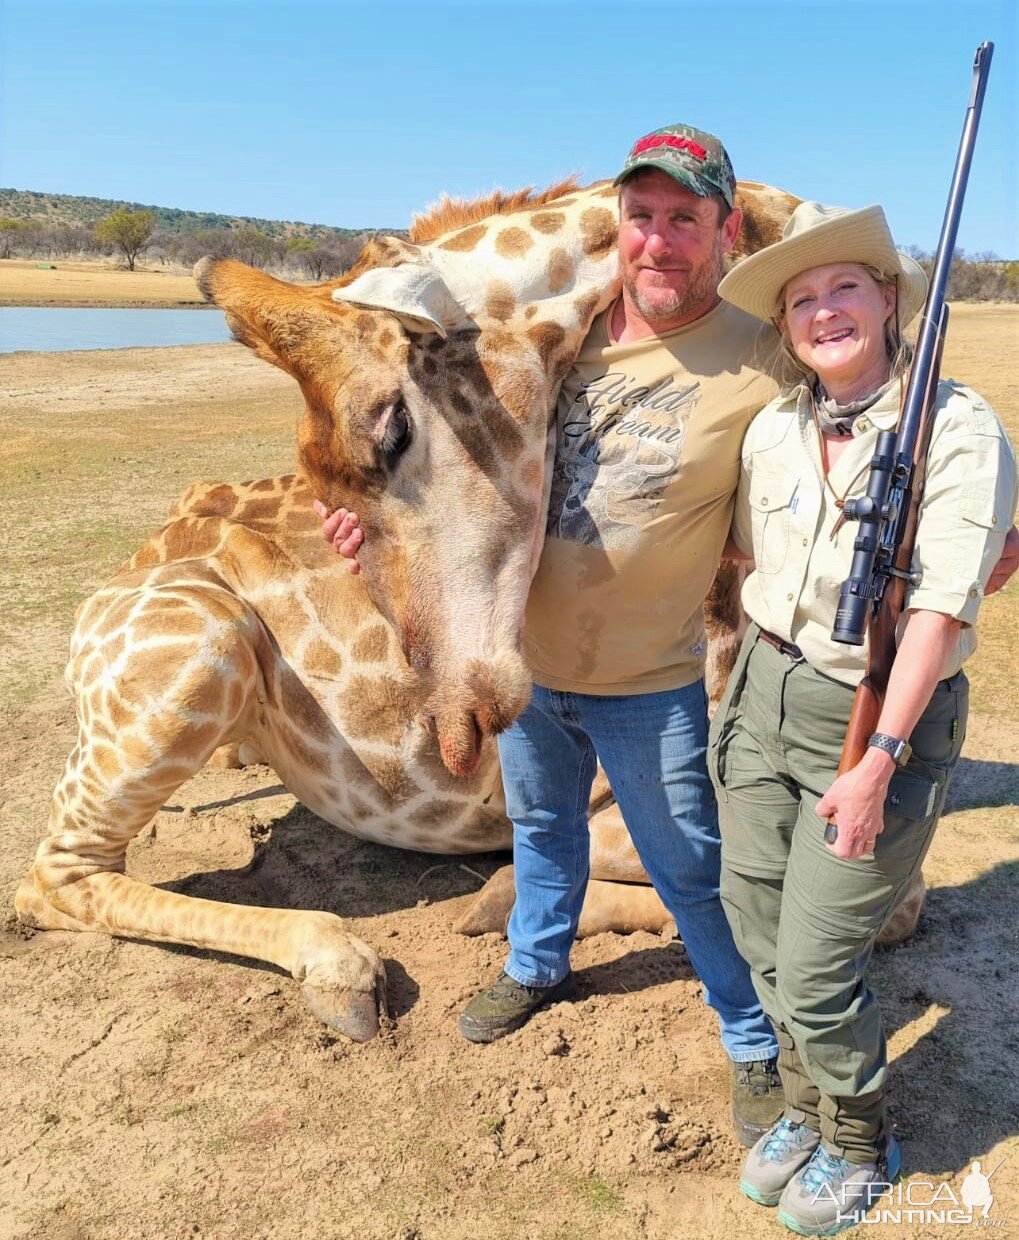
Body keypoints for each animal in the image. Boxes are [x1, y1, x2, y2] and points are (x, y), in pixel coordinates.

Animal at [16, 176, 920, 1041]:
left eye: (391, 430)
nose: (456, 731)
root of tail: (144, 551)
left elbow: (880, 904)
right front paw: (501, 901)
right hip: (203, 644)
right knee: (52, 876)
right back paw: (342, 971)